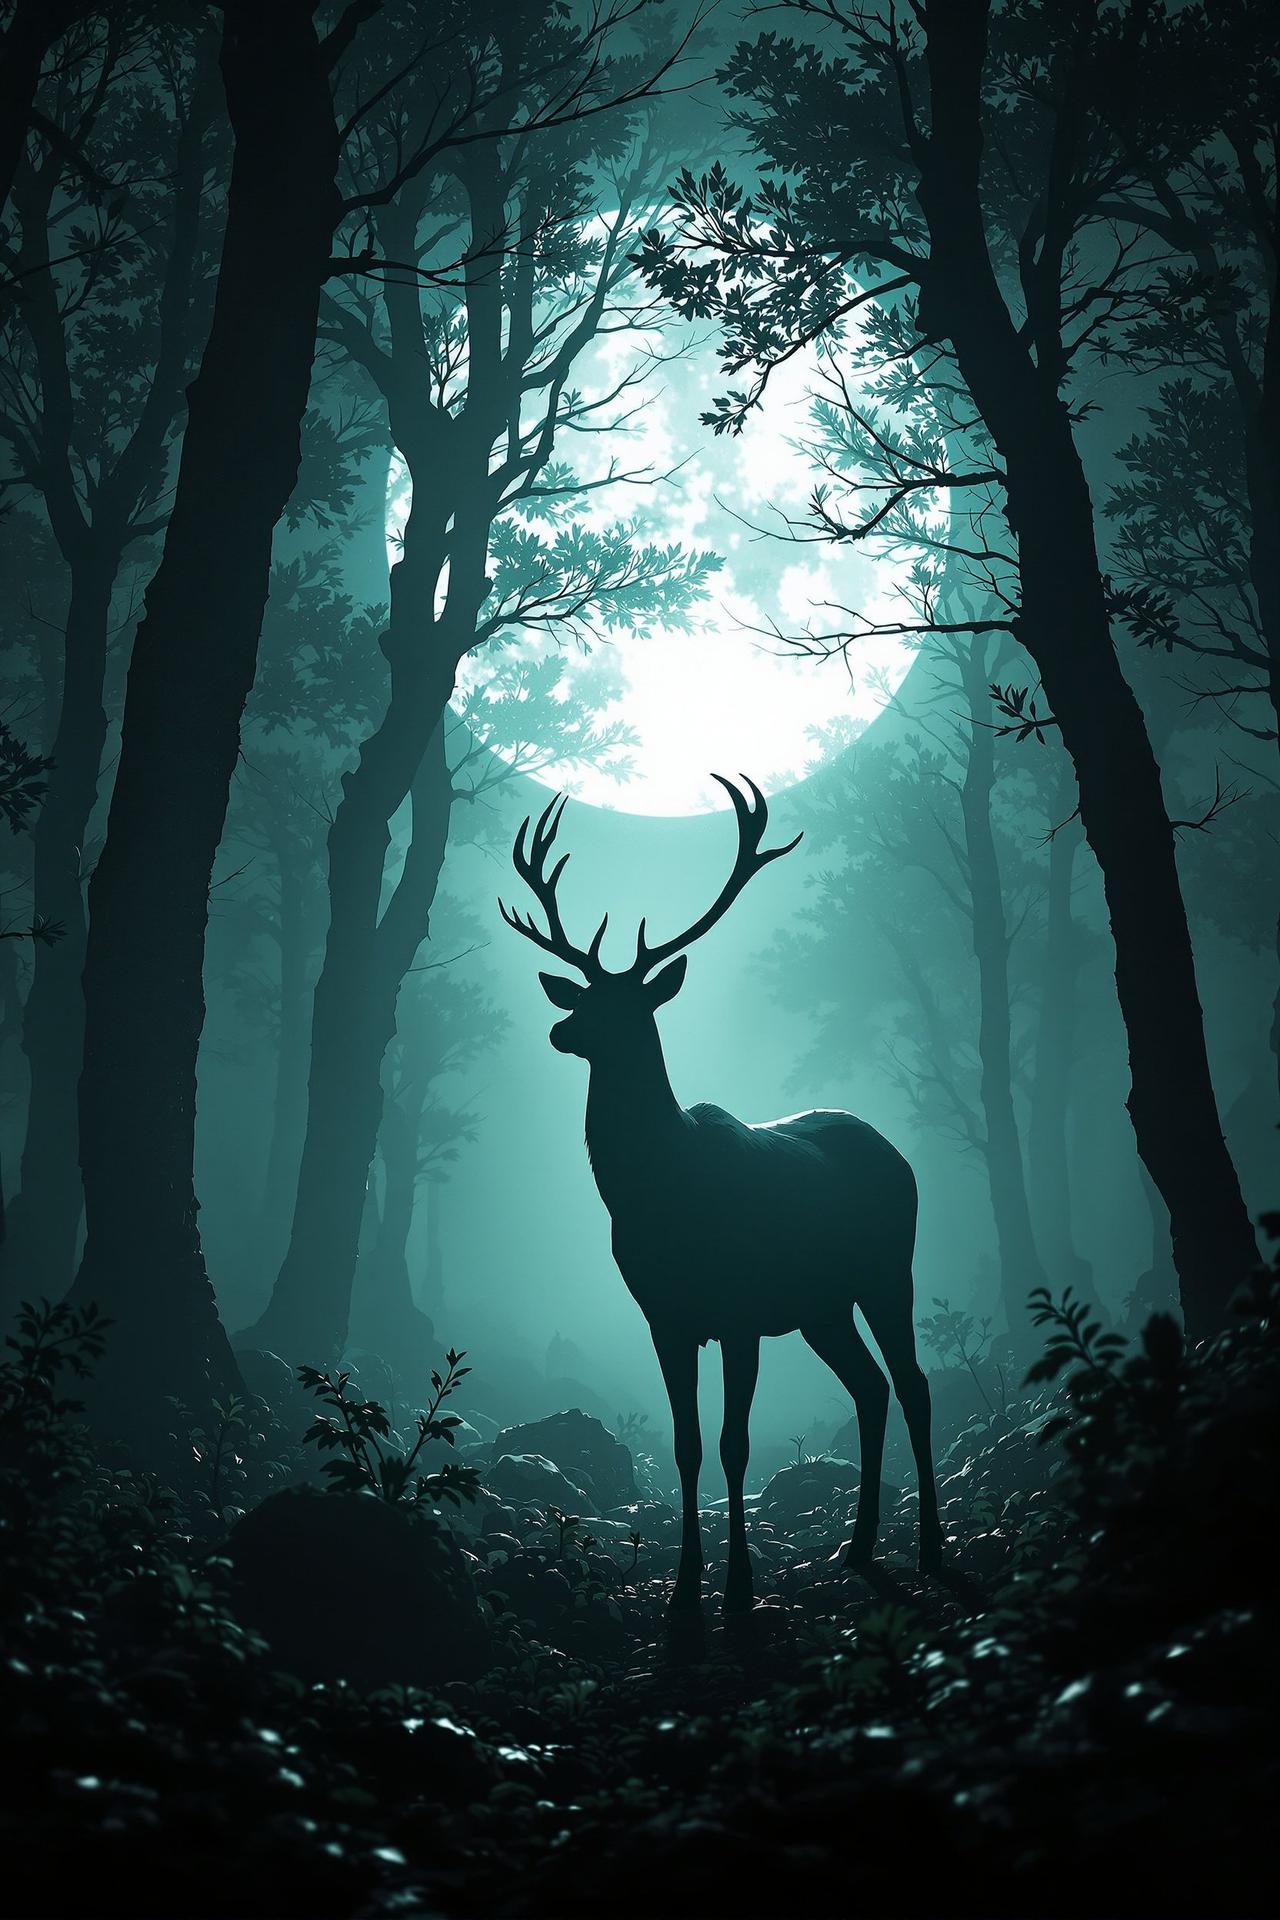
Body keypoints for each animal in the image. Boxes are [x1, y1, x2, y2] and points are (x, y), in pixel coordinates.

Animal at [499, 775, 942, 1612]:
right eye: (581, 998)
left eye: (630, 1005)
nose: (558, 1031)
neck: (660, 1194)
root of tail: (896, 1150)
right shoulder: (663, 1316)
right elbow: (687, 1447)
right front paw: (683, 1587)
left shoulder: (739, 1311)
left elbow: (736, 1446)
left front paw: (738, 1586)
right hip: (822, 1306)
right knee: (869, 1388)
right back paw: (857, 1544)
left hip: (887, 1268)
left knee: (913, 1383)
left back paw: (930, 1543)